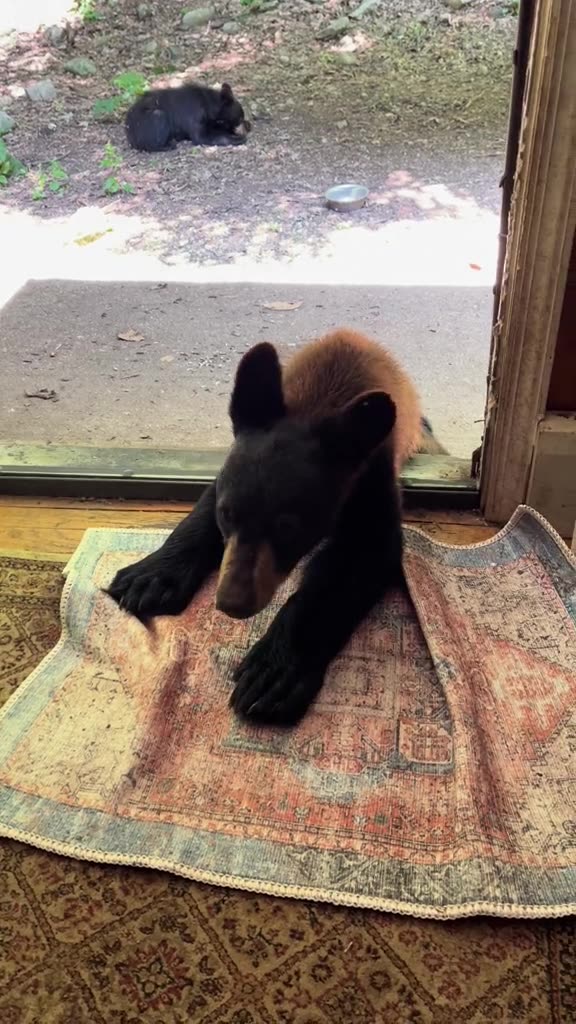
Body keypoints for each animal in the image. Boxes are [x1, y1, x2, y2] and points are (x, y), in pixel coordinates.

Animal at [107, 328, 446, 726]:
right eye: (227, 514)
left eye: (290, 528)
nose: (232, 604)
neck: (319, 400)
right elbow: (202, 509)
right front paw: (153, 575)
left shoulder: (370, 477)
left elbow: (354, 563)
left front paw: (275, 669)